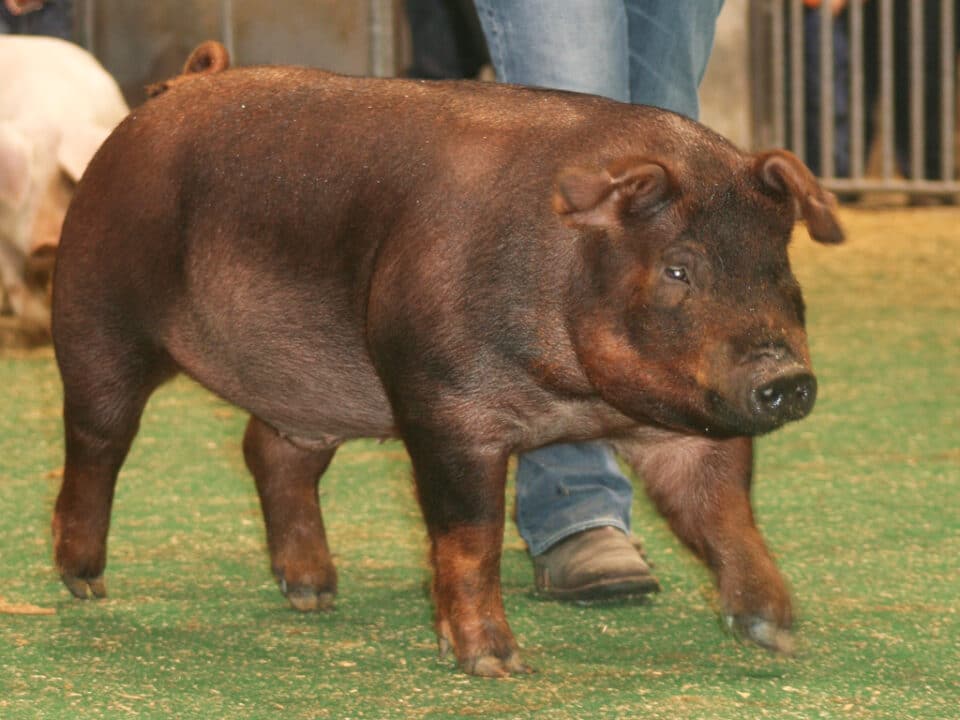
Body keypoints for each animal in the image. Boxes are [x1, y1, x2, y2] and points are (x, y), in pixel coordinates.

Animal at [50, 42, 842, 677]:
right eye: (679, 269)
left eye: (779, 268)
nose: (785, 379)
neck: (575, 399)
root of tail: (175, 88)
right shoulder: (443, 405)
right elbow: (470, 536)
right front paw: (495, 664)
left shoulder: (692, 426)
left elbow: (726, 515)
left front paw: (777, 631)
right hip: (94, 311)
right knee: (96, 441)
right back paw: (84, 580)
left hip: (303, 383)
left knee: (272, 454)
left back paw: (314, 593)